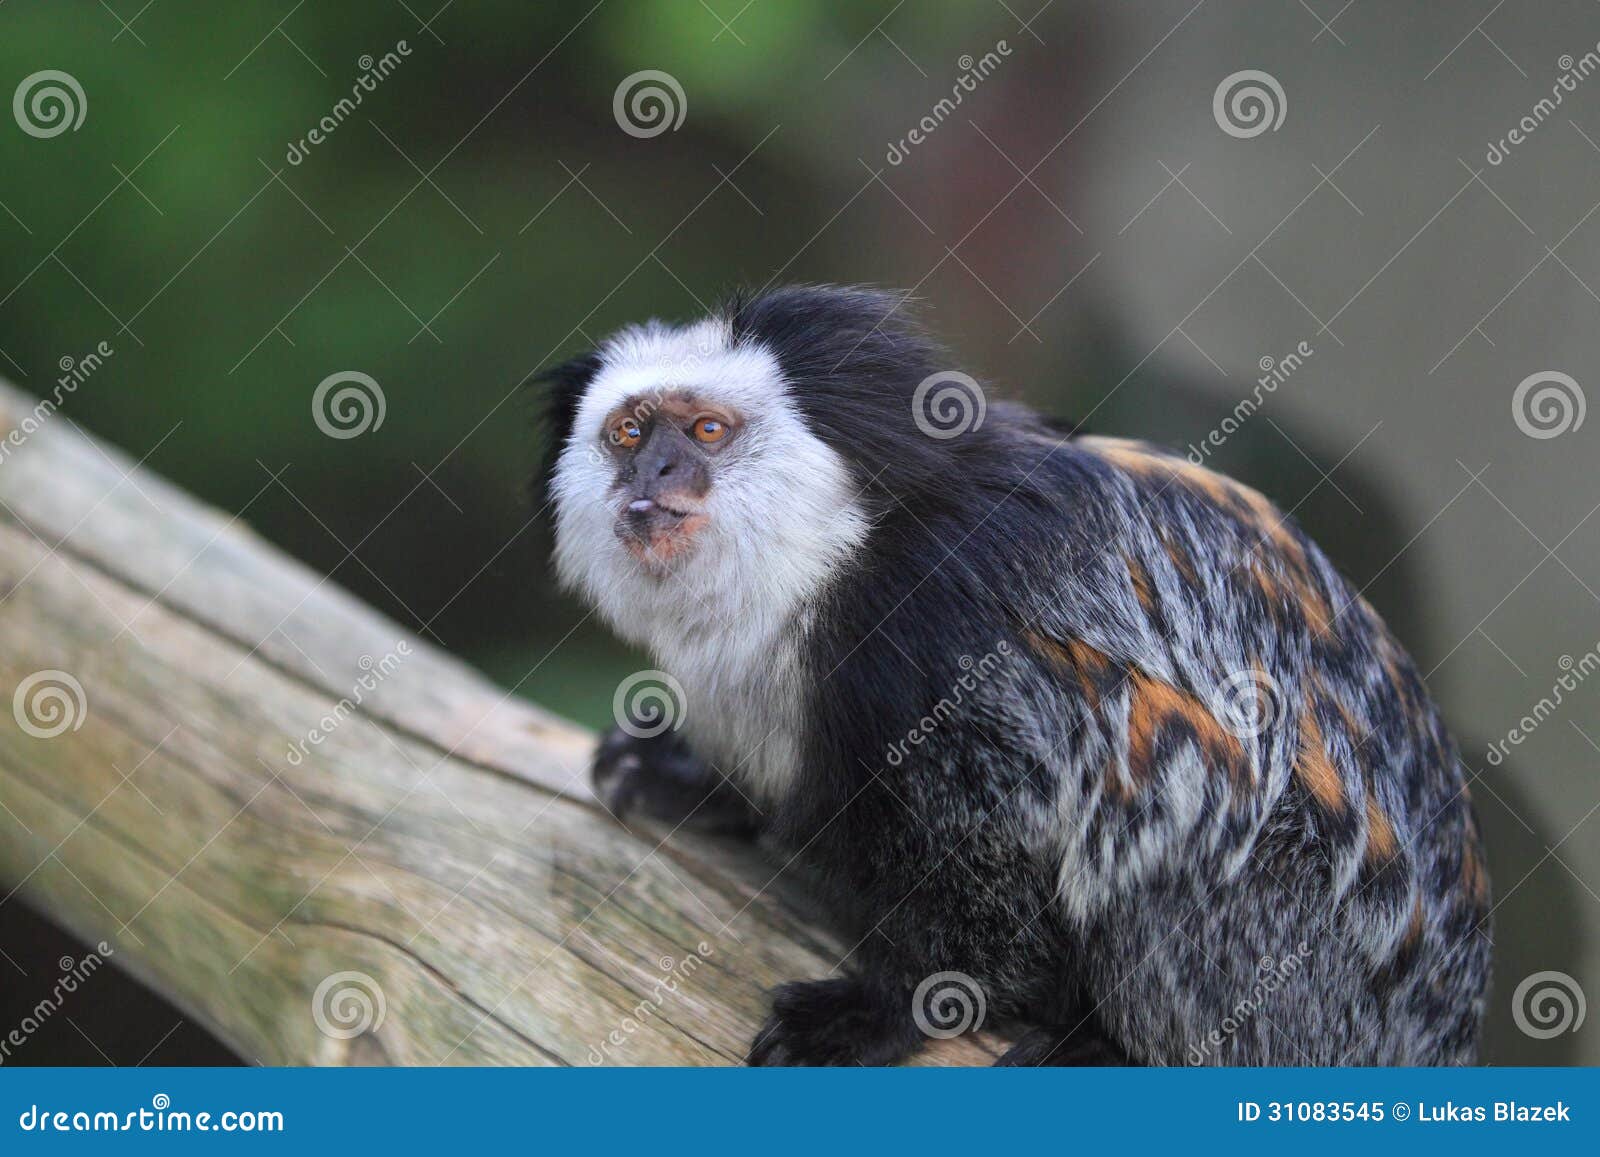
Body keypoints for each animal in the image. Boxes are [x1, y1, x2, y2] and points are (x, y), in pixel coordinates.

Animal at [538, 284, 1491, 1066]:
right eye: (628, 432)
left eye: (705, 430)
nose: (653, 472)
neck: (834, 557)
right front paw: (688, 779)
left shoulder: (935, 633)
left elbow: (990, 858)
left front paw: (885, 1010)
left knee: (1181, 798)